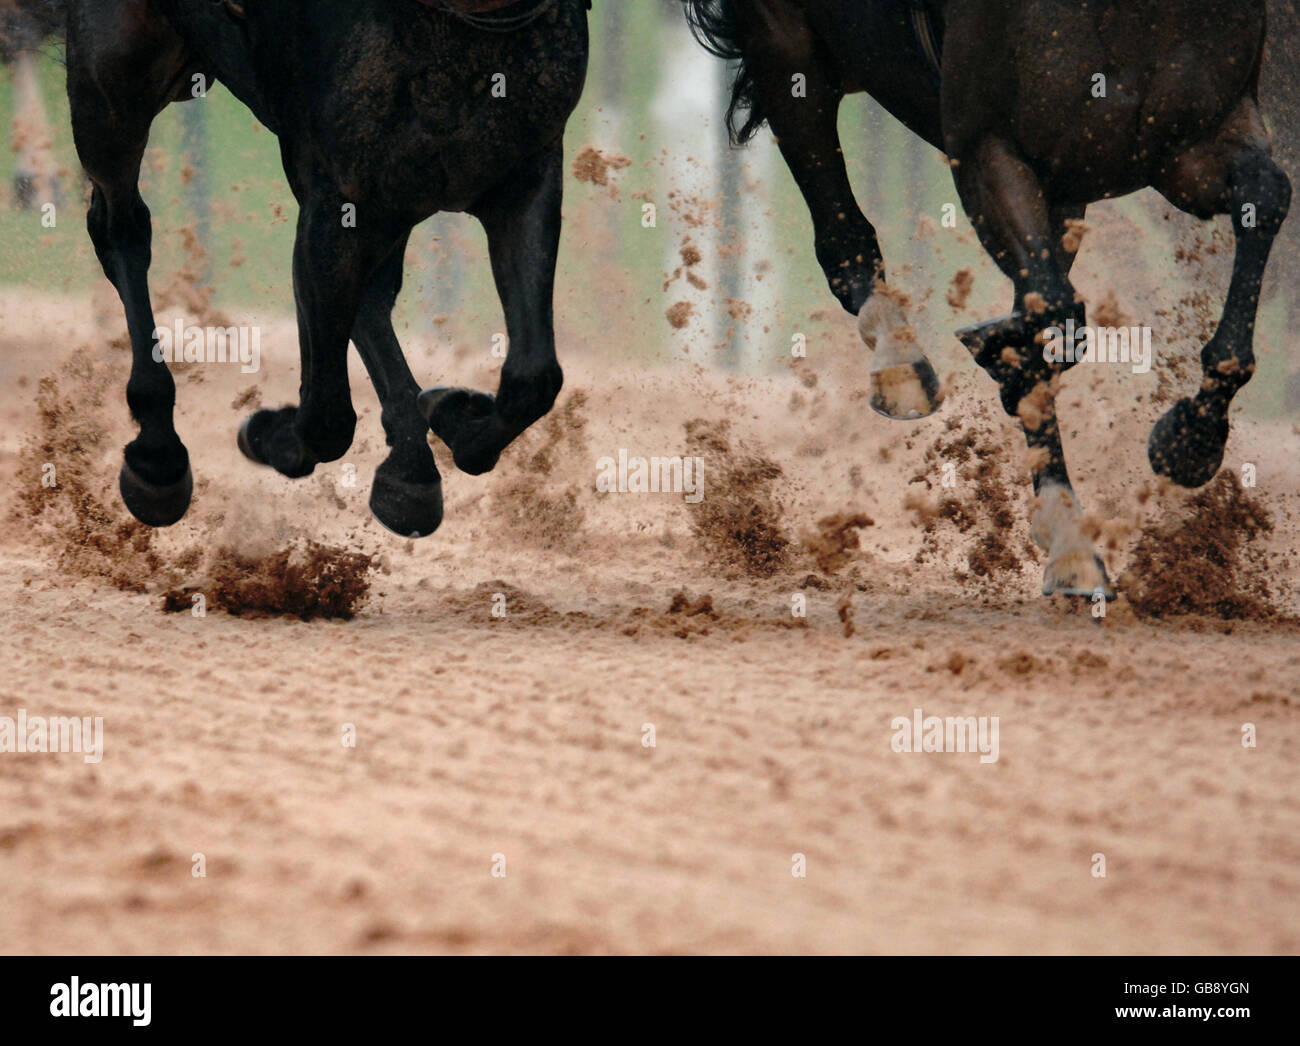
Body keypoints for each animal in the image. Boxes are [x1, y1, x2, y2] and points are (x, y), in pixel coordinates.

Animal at [66, 0, 589, 537]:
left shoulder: (523, 177)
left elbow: (534, 377)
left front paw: (454, 419)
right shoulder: (337, 197)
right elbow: (328, 418)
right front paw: (275, 434)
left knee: (370, 298)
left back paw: (416, 456)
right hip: (114, 75)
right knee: (120, 227)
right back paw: (158, 457)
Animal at [682, 0, 1291, 599]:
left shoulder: (1193, 141)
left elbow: (1267, 194)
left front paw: (1192, 437)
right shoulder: (989, 146)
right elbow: (1054, 308)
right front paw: (1000, 356)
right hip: (785, 44)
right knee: (843, 238)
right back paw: (905, 372)